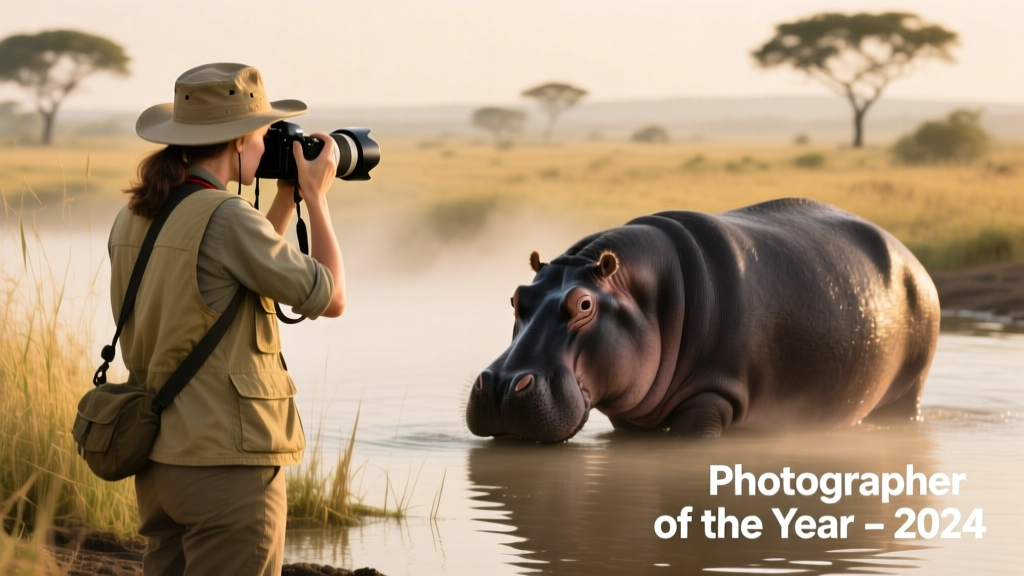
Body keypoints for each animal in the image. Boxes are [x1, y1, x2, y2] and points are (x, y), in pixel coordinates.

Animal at [466, 198, 940, 442]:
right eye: (517, 297)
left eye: (584, 305)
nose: (504, 385)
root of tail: (914, 259)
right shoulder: (632, 416)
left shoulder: (712, 396)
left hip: (911, 385)